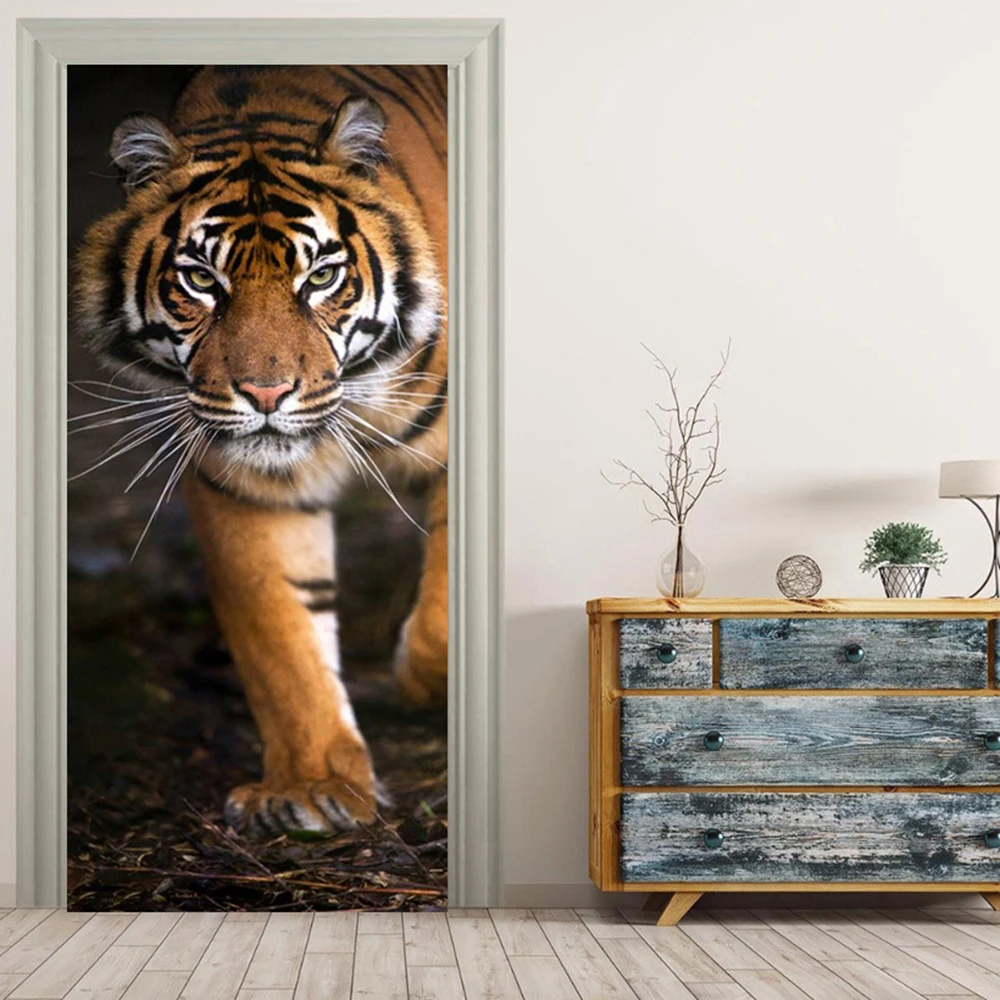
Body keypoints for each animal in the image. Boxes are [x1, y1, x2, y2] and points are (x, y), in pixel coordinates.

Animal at [71, 65, 449, 835]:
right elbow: (281, 634)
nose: (267, 393)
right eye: (201, 281)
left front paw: (417, 684)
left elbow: (443, 622)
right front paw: (313, 787)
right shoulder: (243, 484)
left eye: (321, 277)